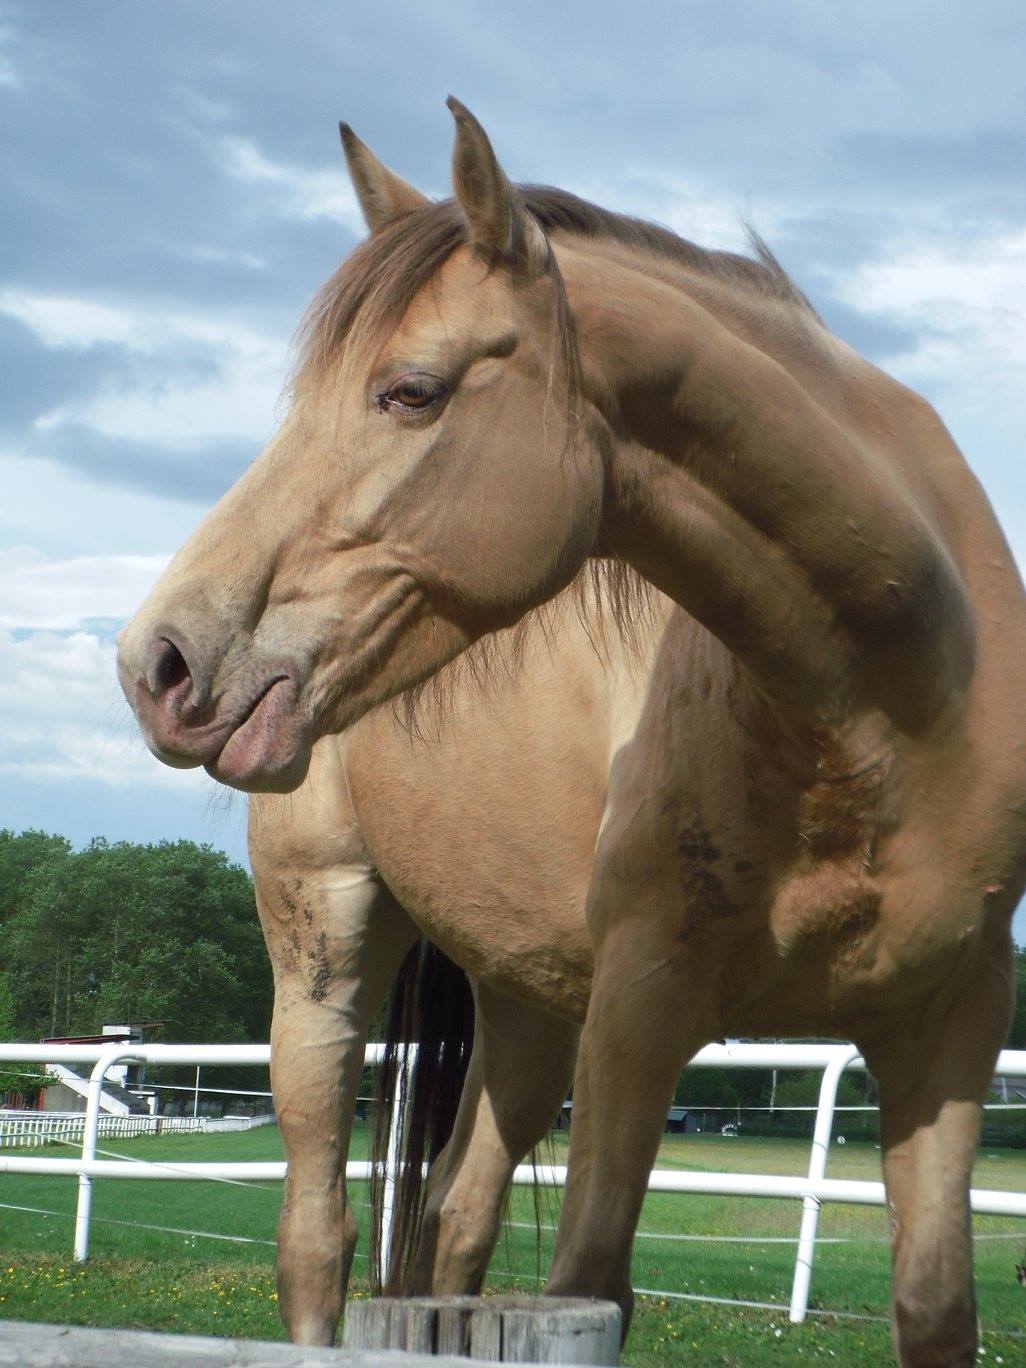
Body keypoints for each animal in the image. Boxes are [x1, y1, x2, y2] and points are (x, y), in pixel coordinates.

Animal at [117, 101, 1026, 1366]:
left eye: (409, 391)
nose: (157, 661)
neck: (890, 712)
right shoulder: (641, 1011)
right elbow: (593, 1281)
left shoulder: (950, 1030)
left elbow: (937, 1309)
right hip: (326, 950)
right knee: (318, 1236)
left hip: (530, 1007)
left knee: (454, 1218)